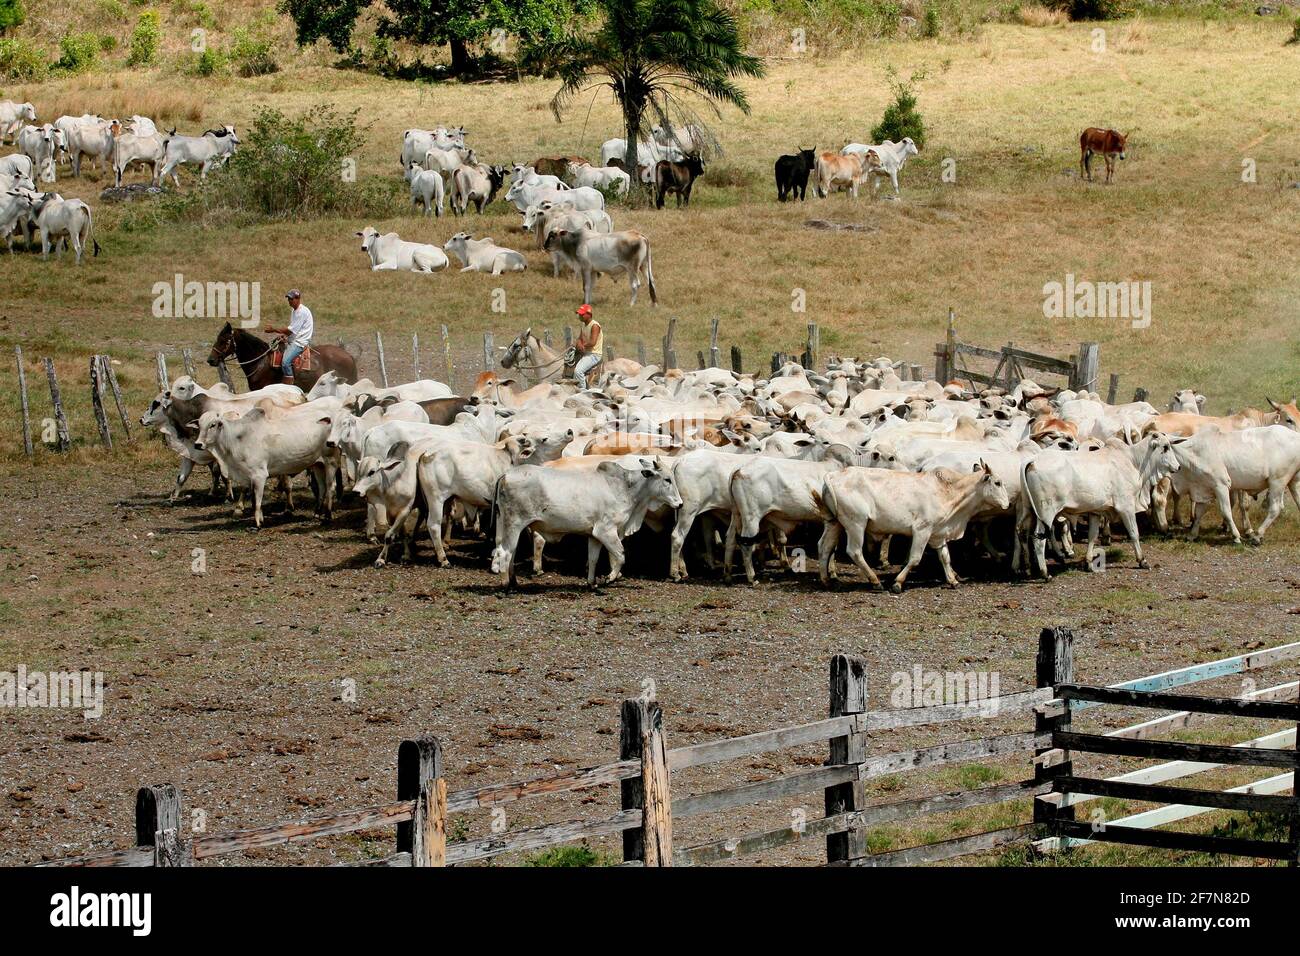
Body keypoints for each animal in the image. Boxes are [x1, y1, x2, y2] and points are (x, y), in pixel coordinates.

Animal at [490, 456, 681, 587]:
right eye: (667, 479)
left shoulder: (593, 535)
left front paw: (592, 583)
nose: (680, 503)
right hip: (514, 524)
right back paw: (506, 586)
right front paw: (609, 578)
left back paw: (513, 581)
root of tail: (506, 474)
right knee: (504, 552)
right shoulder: (606, 530)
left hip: (506, 523)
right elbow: (620, 555)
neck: (626, 488)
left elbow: (593, 559)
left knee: (509, 551)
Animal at [818, 463, 1011, 591]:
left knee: (825, 546)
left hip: (835, 522)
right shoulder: (922, 530)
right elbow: (915, 558)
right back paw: (875, 581)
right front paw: (897, 583)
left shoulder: (938, 533)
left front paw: (953, 580)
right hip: (856, 523)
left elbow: (945, 557)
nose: (1008, 504)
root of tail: (833, 475)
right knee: (855, 552)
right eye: (998, 483)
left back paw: (826, 580)